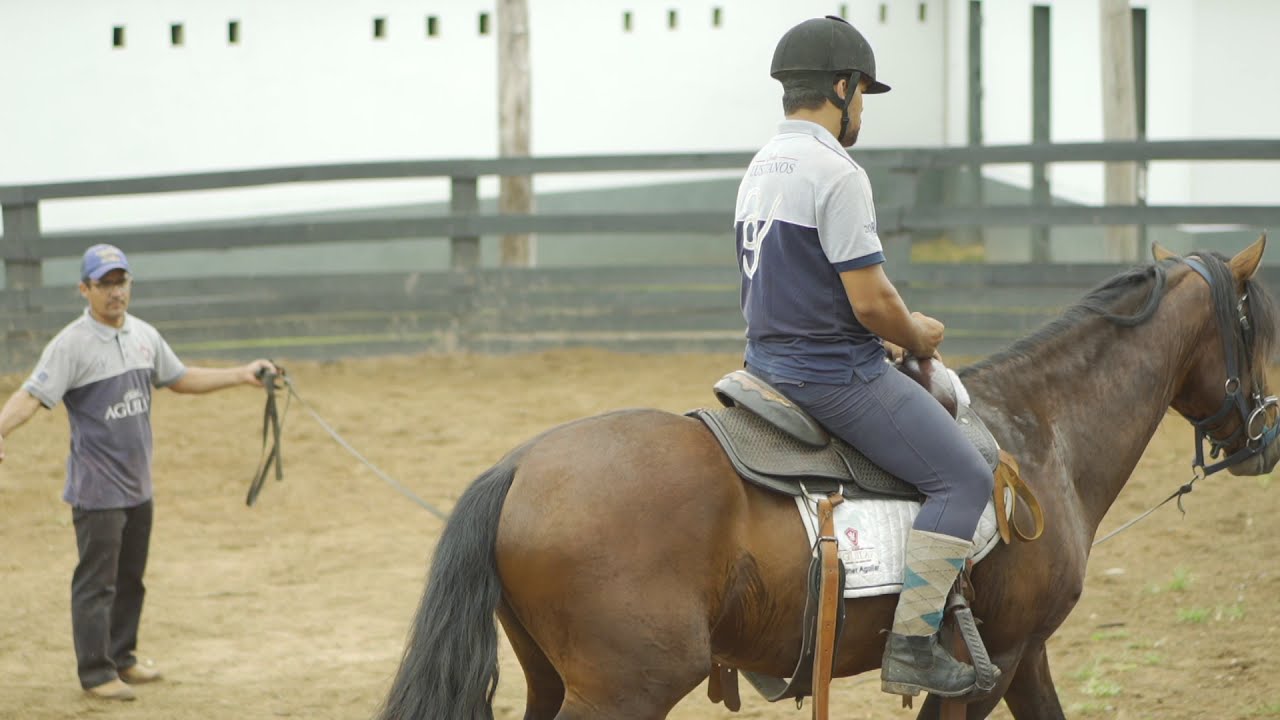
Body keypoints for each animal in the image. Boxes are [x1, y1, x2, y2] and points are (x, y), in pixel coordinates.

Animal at [375, 237, 1278, 720]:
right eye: (1260, 326)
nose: (1263, 438)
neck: (1040, 427)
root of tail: (520, 464)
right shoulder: (1000, 656)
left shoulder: (1027, 654)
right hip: (624, 690)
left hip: (553, 677)